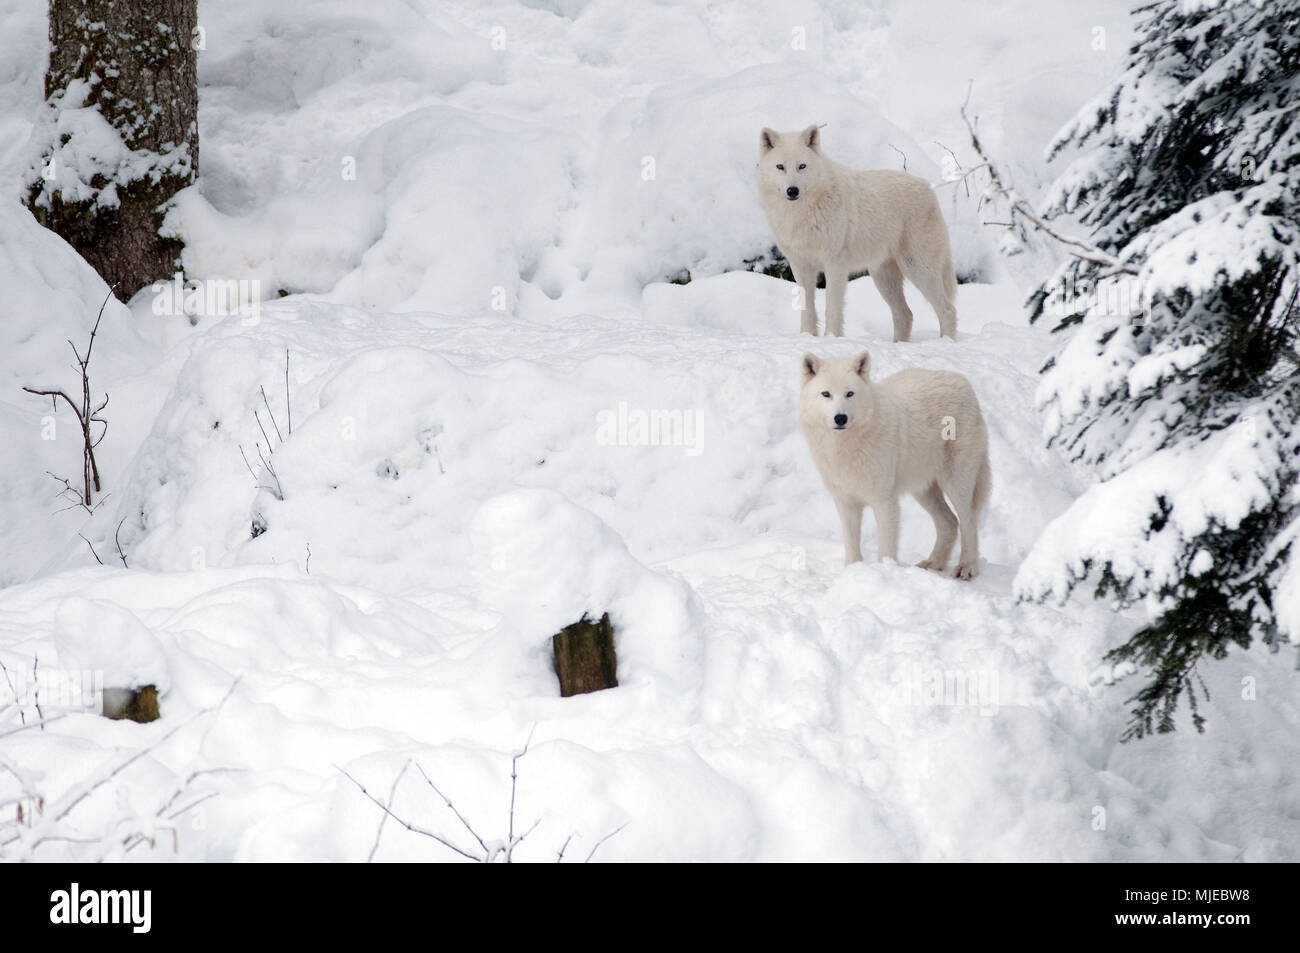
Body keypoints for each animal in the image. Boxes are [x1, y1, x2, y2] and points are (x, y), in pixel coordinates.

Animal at [758, 125, 958, 341]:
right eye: (780, 167)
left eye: (802, 166)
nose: (792, 190)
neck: (801, 213)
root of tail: (929, 189)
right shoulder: (800, 266)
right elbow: (807, 310)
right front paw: (807, 337)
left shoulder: (835, 265)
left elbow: (832, 309)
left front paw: (831, 339)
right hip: (883, 278)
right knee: (905, 314)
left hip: (918, 270)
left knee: (948, 310)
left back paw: (946, 342)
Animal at [799, 351, 990, 579]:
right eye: (826, 394)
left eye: (850, 394)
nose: (840, 418)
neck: (844, 447)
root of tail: (963, 381)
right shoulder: (846, 502)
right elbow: (852, 546)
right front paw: (852, 572)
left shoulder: (884, 501)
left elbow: (886, 548)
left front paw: (884, 572)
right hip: (923, 491)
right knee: (950, 523)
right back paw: (933, 563)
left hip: (955, 483)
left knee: (968, 522)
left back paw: (966, 568)